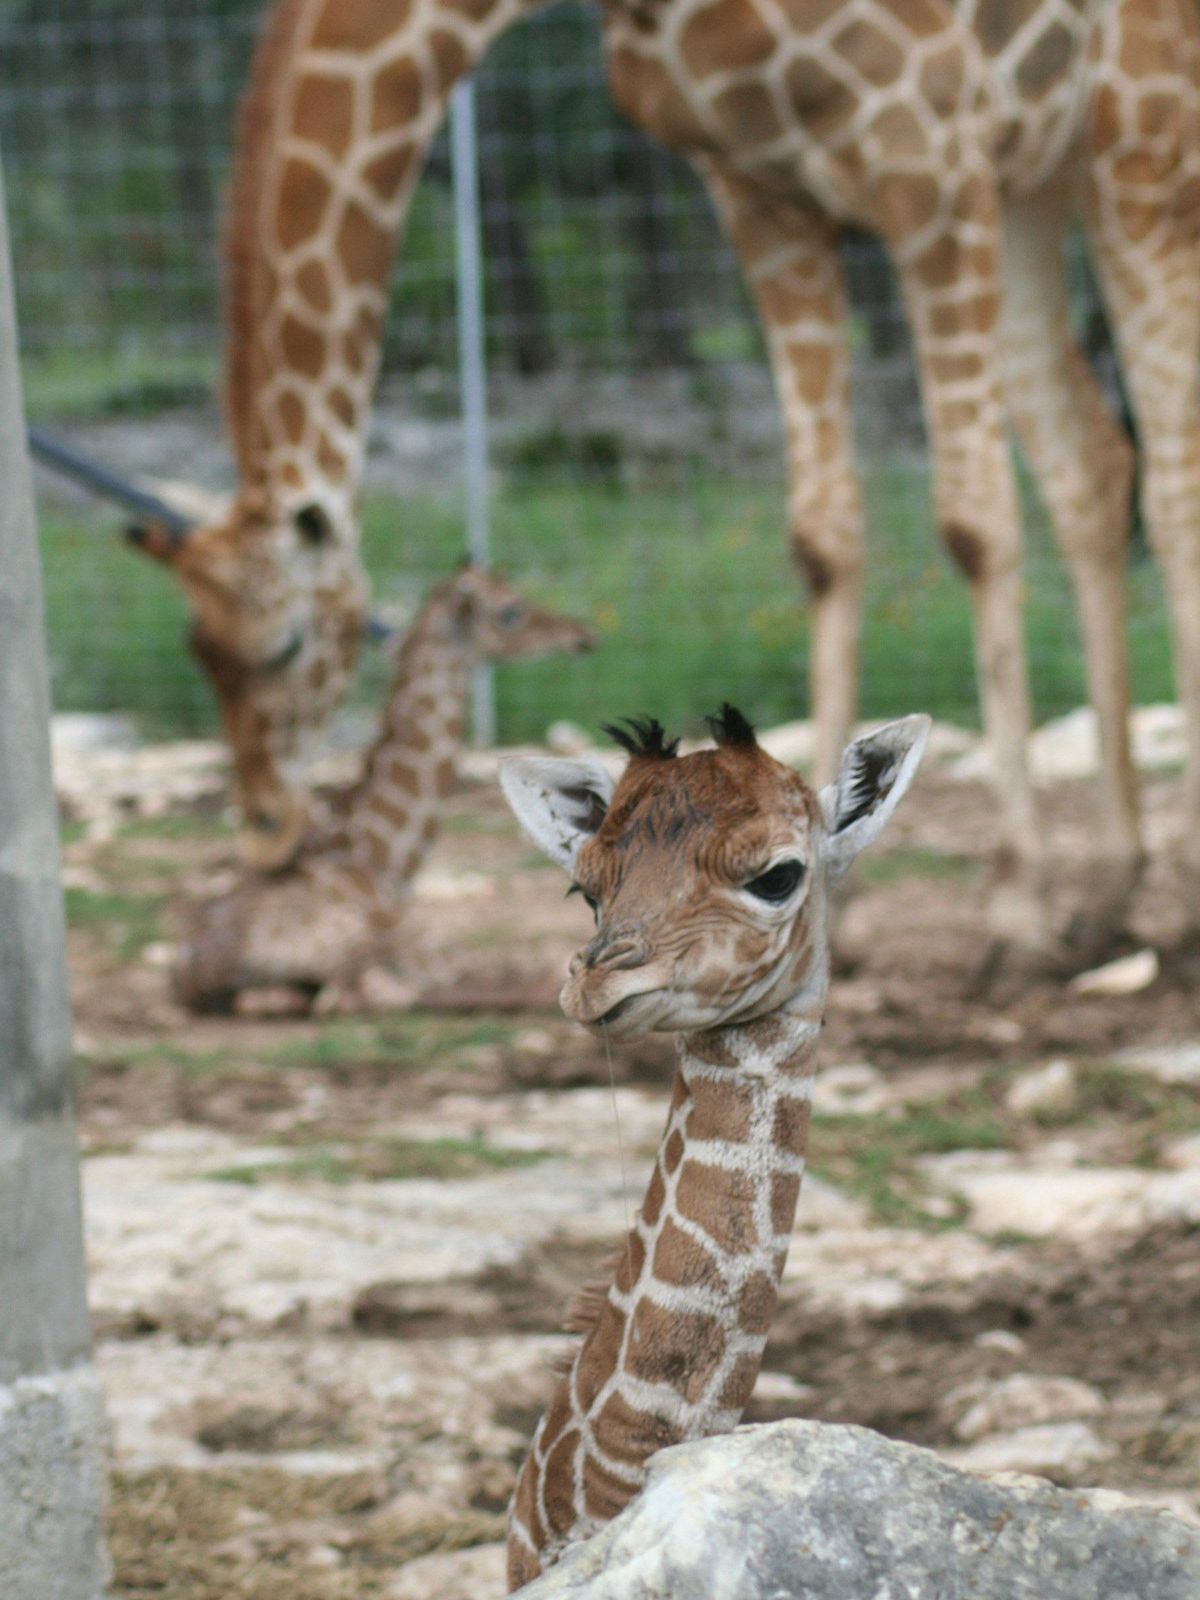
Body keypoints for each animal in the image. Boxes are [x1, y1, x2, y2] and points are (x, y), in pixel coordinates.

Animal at [129, 0, 1200, 957]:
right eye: (198, 652)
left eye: (285, 648)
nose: (266, 832)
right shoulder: (763, 190)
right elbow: (824, 537)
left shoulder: (929, 158)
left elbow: (974, 523)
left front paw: (1015, 914)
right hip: (1042, 175)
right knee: (1093, 463)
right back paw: (1111, 888)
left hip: (1135, 144)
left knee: (1167, 474)